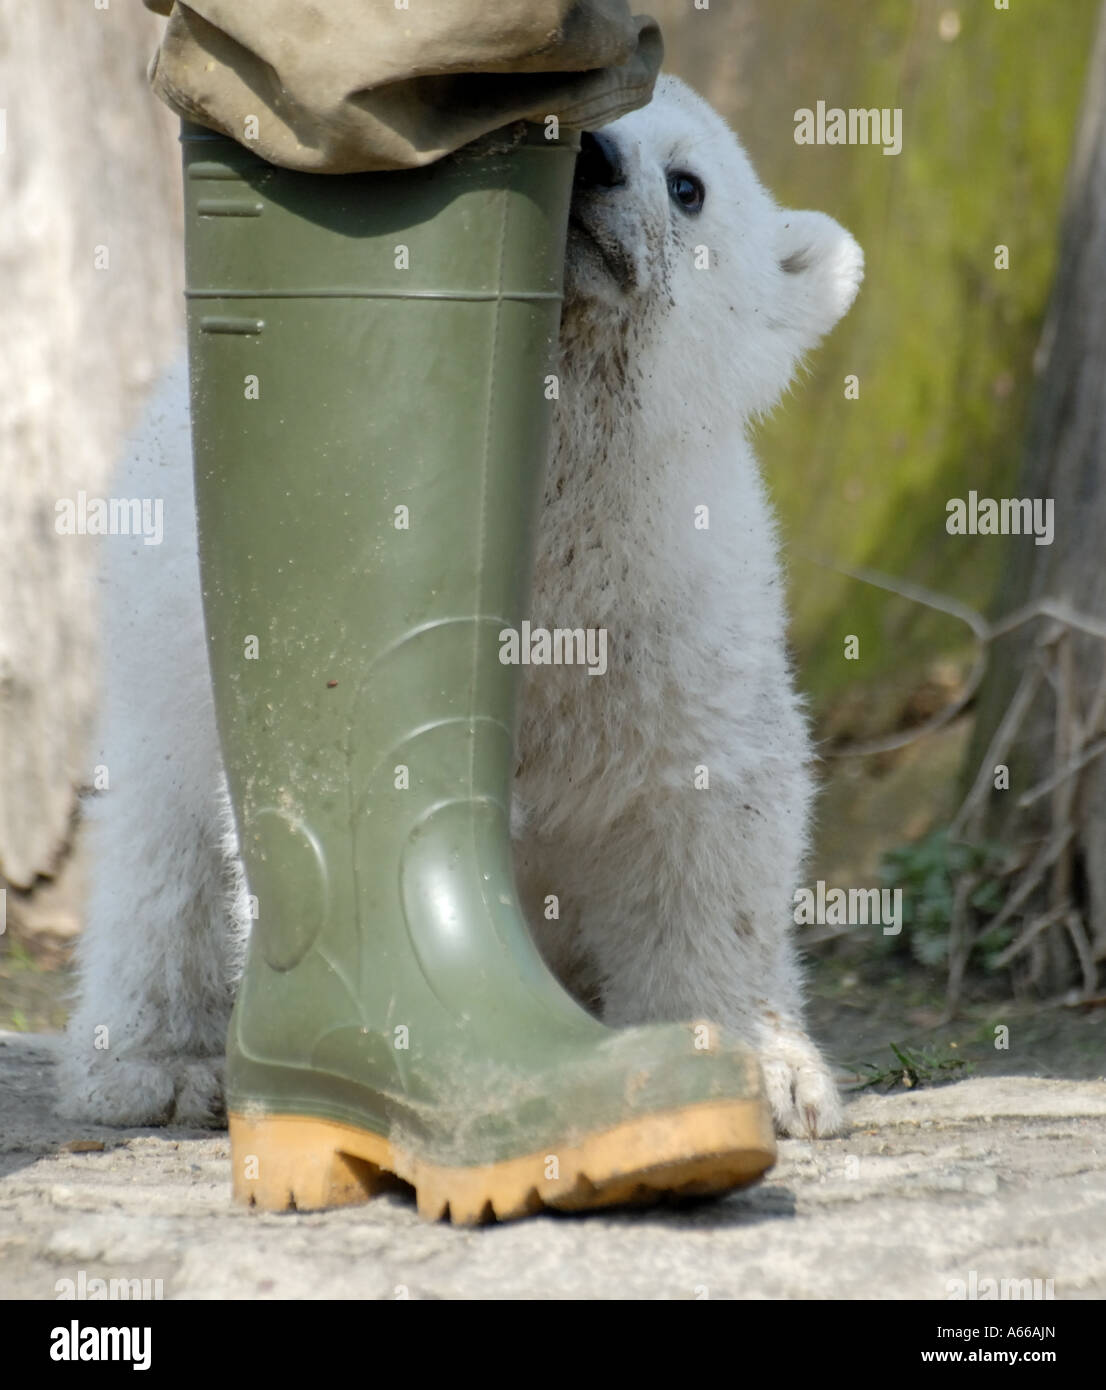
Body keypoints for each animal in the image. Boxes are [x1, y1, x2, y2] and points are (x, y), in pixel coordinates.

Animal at [58, 75, 863, 1139]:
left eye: (688, 185)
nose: (593, 156)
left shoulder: (681, 612)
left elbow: (712, 815)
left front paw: (765, 1071)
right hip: (163, 627)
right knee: (161, 845)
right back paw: (151, 1065)